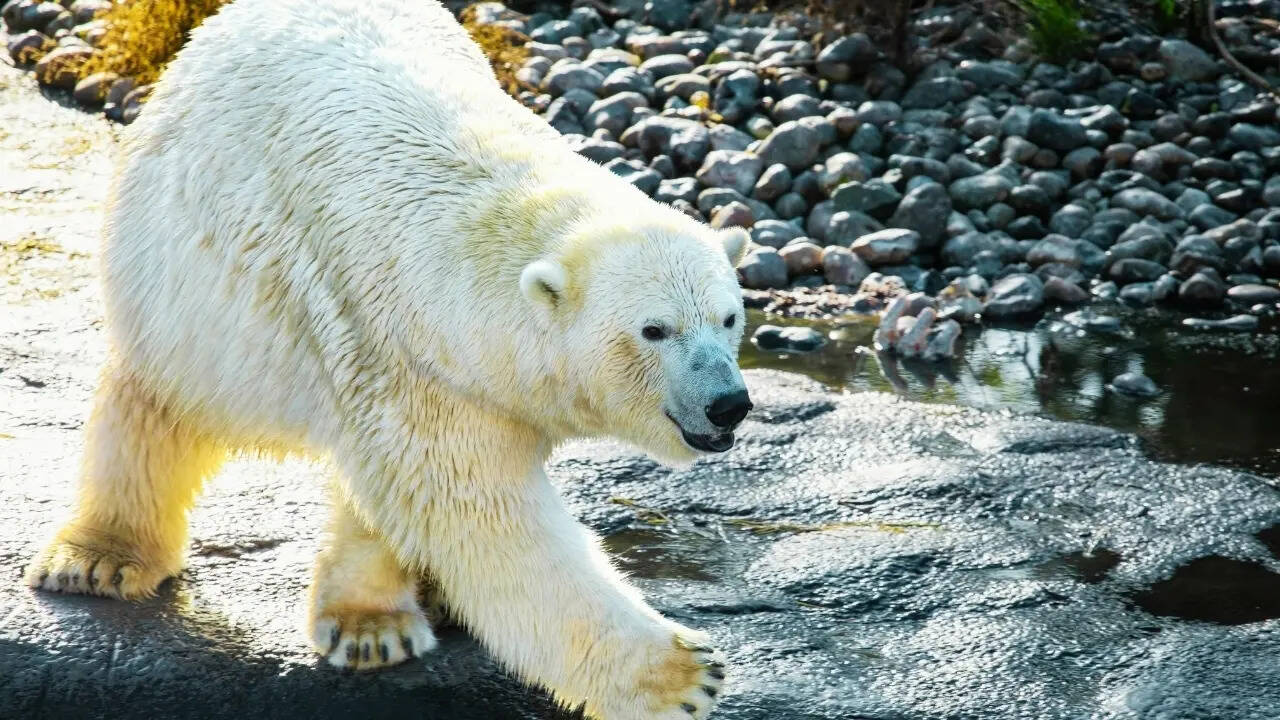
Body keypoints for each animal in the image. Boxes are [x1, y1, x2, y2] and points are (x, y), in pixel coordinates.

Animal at [23, 0, 754, 718]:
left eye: (729, 317)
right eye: (654, 330)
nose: (729, 403)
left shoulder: (419, 367)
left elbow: (402, 495)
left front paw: (375, 623)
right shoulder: (397, 346)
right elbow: (485, 517)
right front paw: (685, 675)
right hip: (179, 281)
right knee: (158, 404)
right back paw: (98, 559)